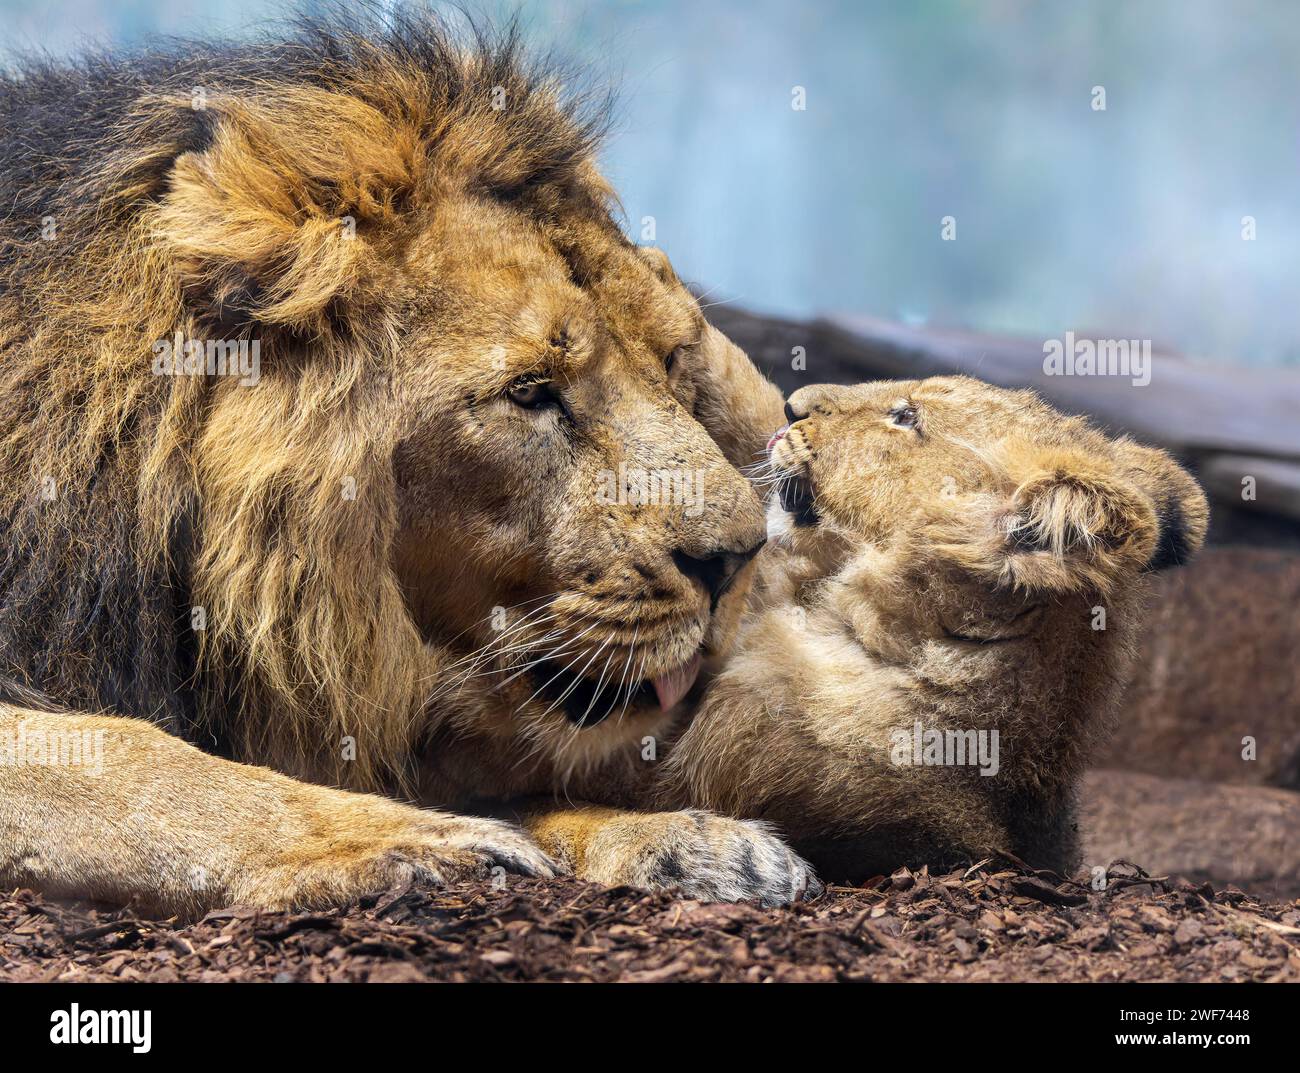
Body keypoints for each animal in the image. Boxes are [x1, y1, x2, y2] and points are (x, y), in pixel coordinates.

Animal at [0, 11, 814, 915]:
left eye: (672, 359)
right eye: (530, 392)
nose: (738, 558)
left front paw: (693, 841)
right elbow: (130, 758)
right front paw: (407, 841)